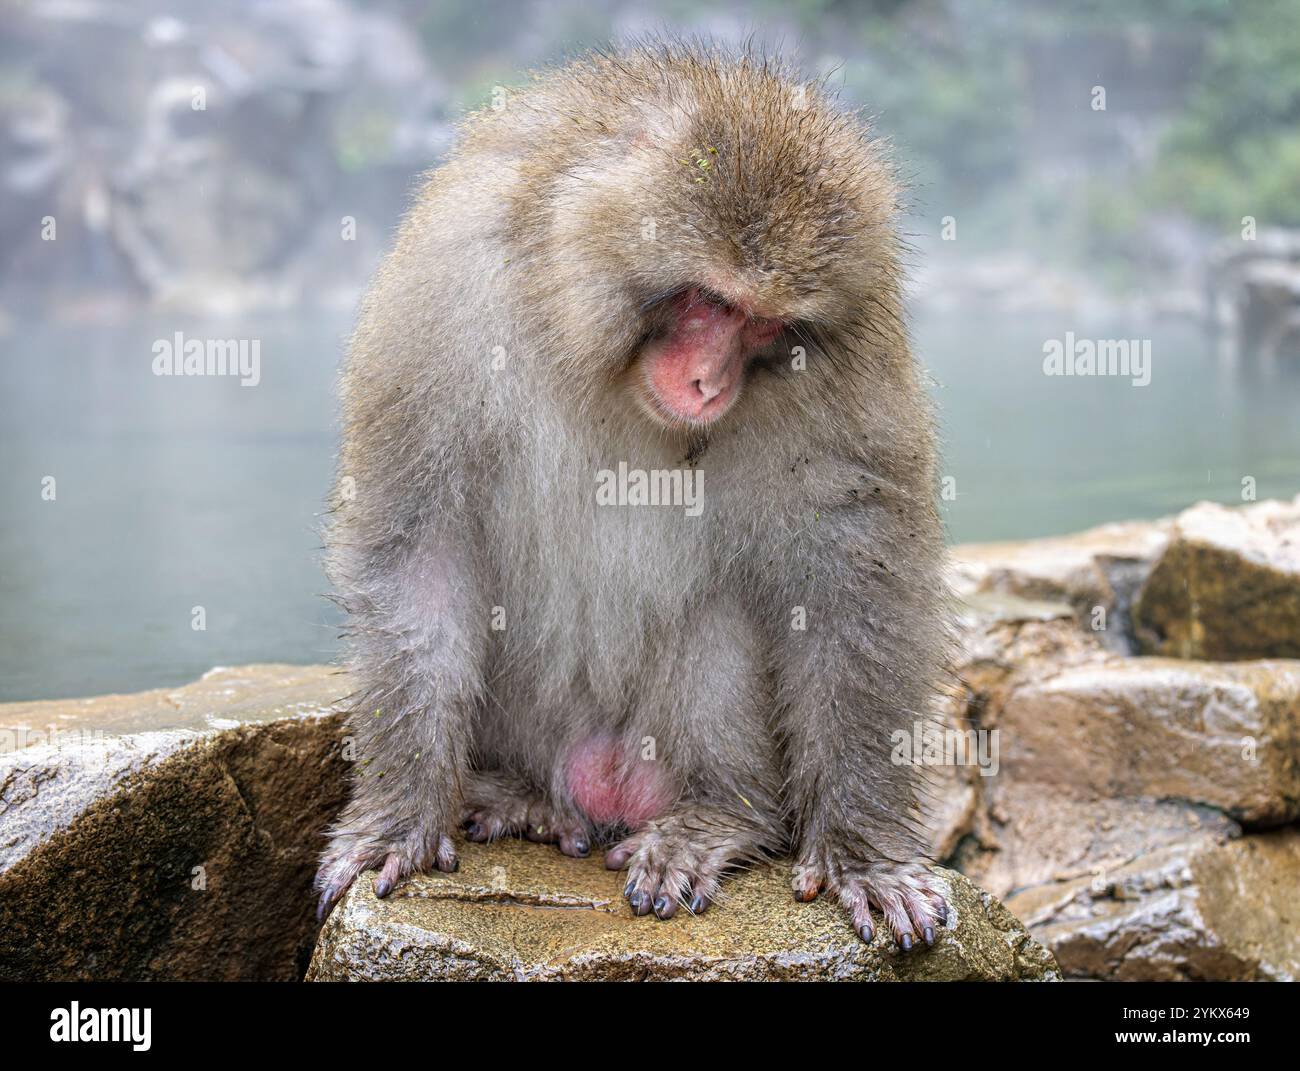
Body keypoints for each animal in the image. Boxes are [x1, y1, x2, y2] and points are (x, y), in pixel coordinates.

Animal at [314, 41, 952, 950]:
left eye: (764, 324)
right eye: (709, 300)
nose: (709, 381)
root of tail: (605, 784)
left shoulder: (852, 360)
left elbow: (852, 579)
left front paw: (865, 851)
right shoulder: (451, 289)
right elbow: (420, 550)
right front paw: (401, 812)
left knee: (722, 616)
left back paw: (720, 815)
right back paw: (520, 796)